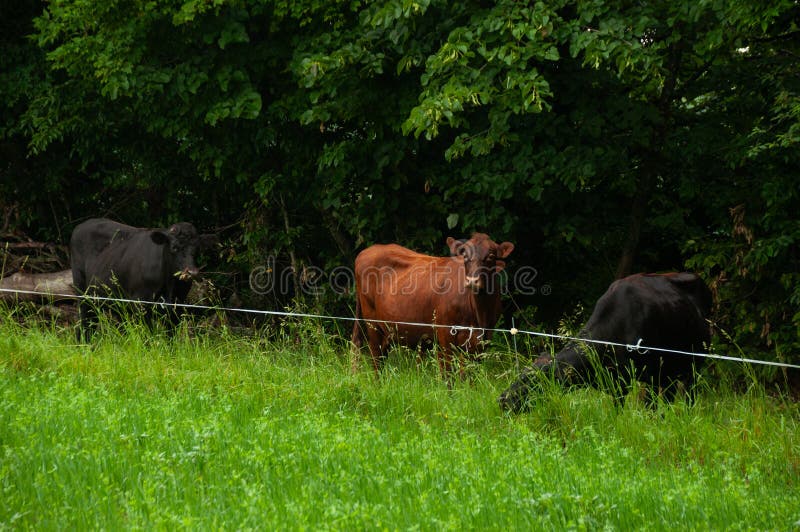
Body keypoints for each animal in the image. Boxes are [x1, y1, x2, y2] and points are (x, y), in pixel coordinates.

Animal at [70, 218, 216, 340]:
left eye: (197, 249)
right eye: (174, 247)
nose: (192, 272)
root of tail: (82, 225)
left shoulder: (177, 305)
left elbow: (171, 336)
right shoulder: (140, 303)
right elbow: (147, 334)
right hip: (83, 292)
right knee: (85, 321)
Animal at [352, 233, 514, 378]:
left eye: (491, 256)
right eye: (465, 256)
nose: (472, 281)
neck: (479, 313)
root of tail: (368, 250)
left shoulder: (482, 339)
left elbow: (470, 376)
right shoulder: (445, 335)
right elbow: (448, 375)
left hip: (388, 329)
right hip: (373, 324)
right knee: (376, 359)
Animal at [498, 272, 712, 412]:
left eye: (532, 380)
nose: (502, 400)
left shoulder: (648, 375)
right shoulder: (616, 380)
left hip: (693, 365)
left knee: (688, 395)